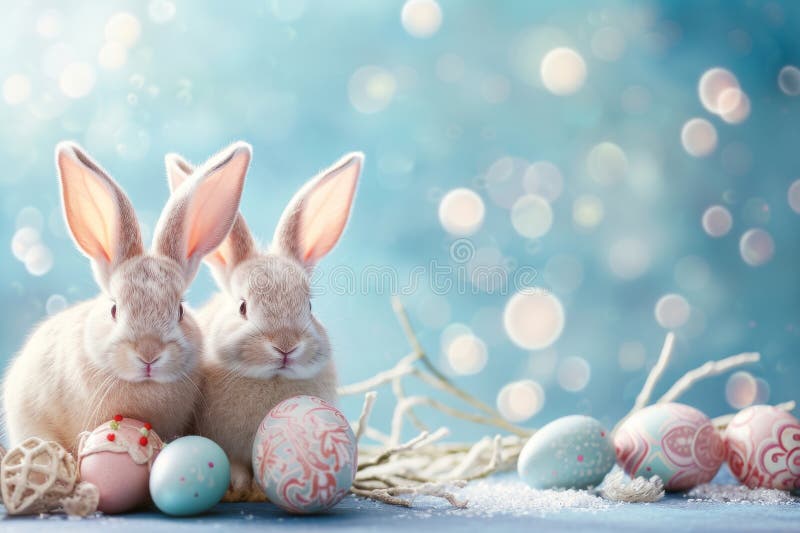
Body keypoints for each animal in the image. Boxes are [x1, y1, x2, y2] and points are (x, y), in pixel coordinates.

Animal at [164, 150, 363, 500]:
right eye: (243, 307)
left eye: (309, 306)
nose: (285, 346)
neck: (270, 379)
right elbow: (235, 465)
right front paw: (238, 486)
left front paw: (257, 489)